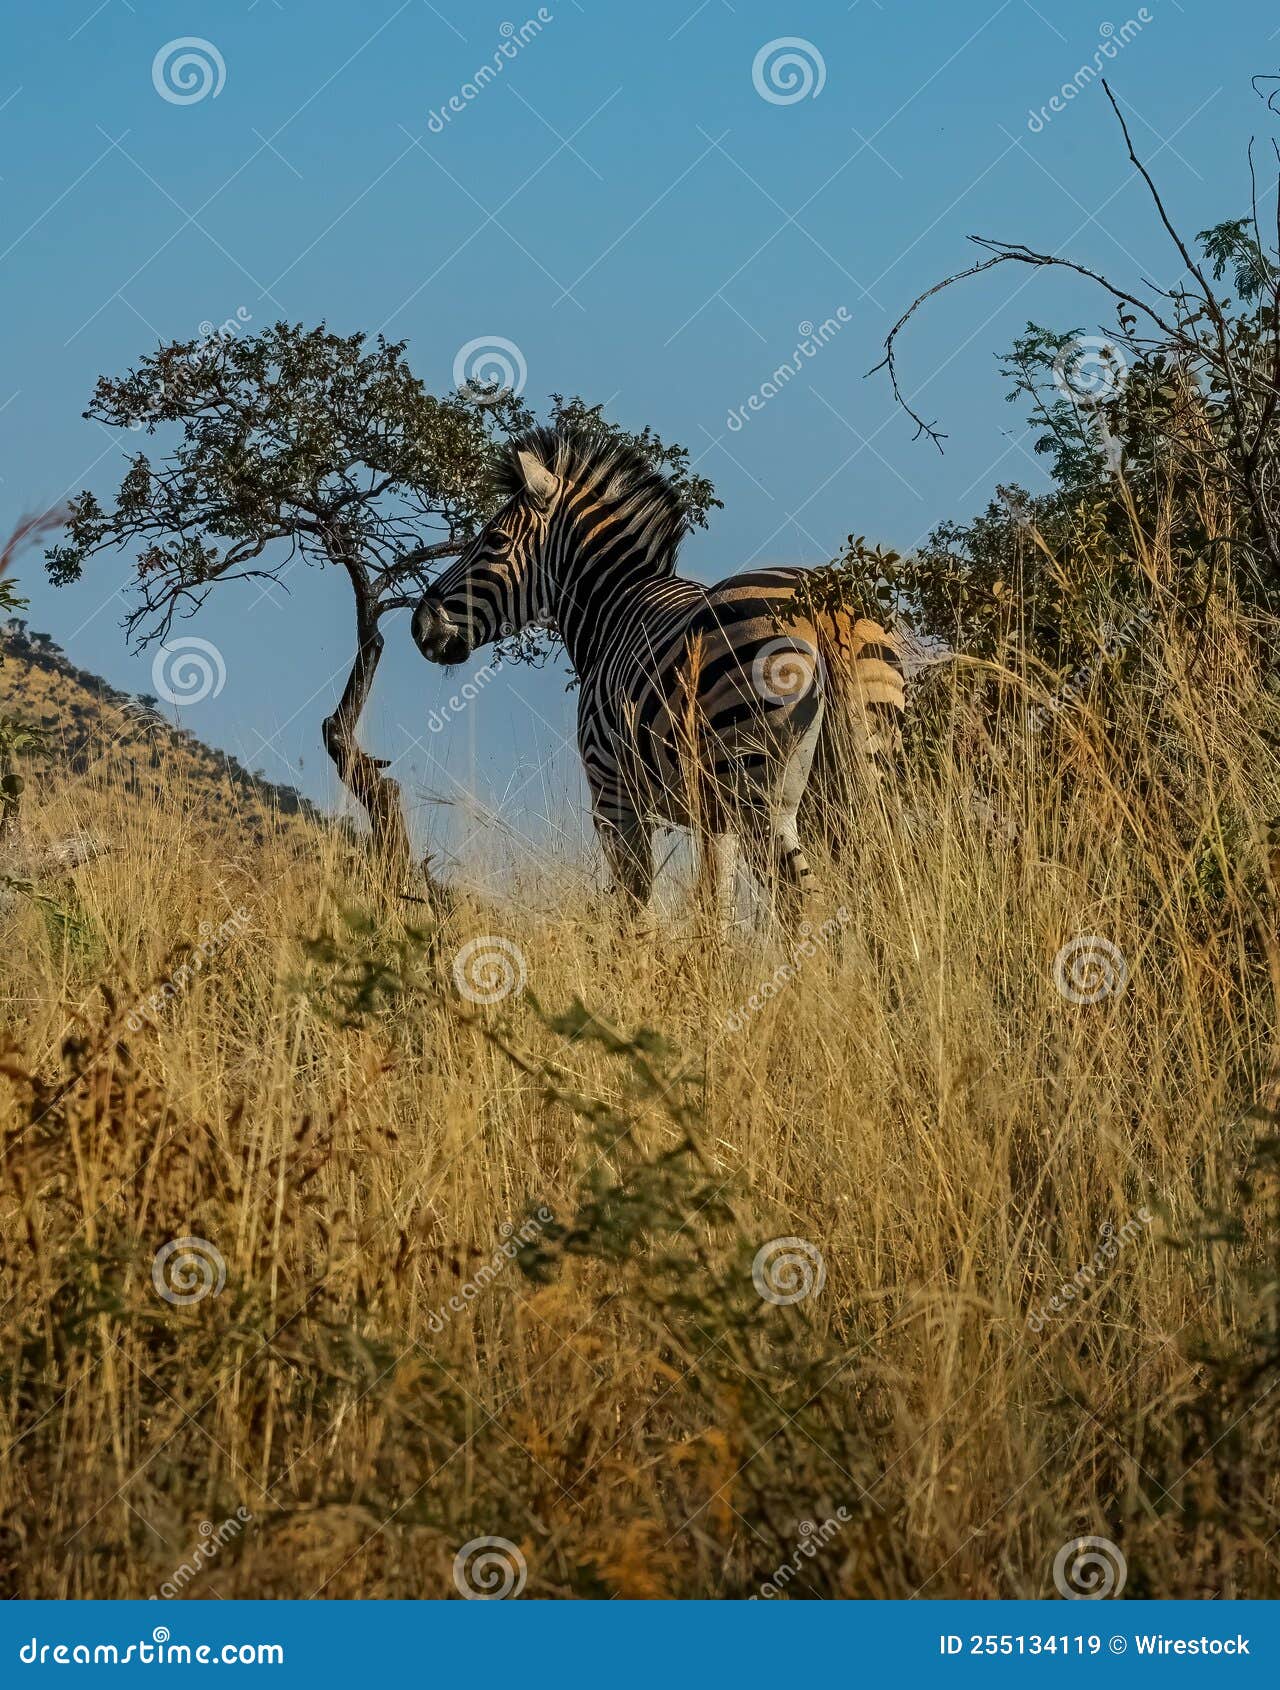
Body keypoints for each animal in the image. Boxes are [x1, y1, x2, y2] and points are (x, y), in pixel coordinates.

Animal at [412, 426, 904, 928]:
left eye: (493, 540)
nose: (420, 625)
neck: (613, 608)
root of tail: (823, 604)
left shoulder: (614, 797)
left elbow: (636, 908)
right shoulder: (712, 815)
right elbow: (714, 902)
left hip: (759, 787)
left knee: (803, 898)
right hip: (864, 771)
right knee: (885, 881)